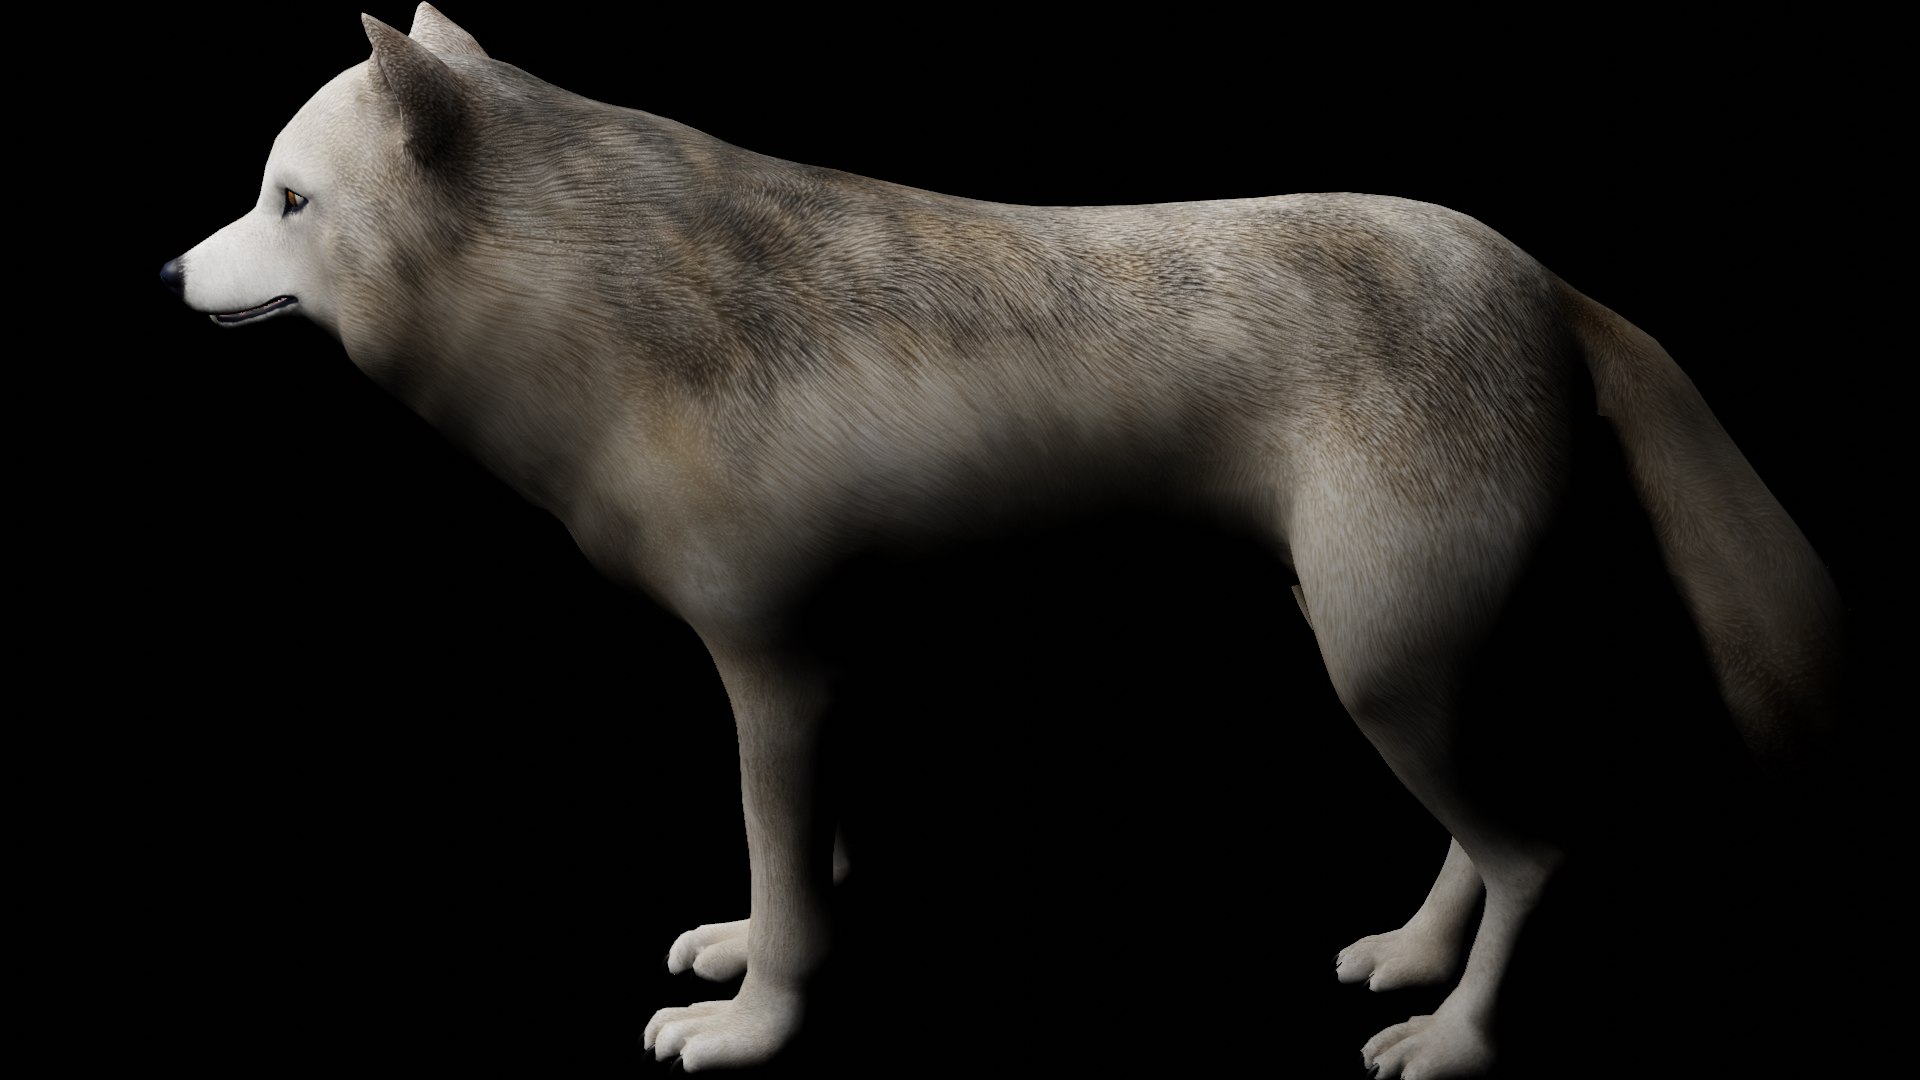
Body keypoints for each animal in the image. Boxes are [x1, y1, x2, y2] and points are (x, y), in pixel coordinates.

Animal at [160, 6, 1841, 1076]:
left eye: (286, 198)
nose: (171, 273)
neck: (590, 310)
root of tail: (1546, 280)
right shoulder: (824, 668)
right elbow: (800, 867)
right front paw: (752, 943)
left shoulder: (770, 669)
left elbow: (786, 881)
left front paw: (752, 1025)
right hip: (1399, 672)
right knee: (1477, 843)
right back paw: (1411, 959)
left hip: (1381, 675)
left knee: (1538, 852)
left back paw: (1453, 1041)